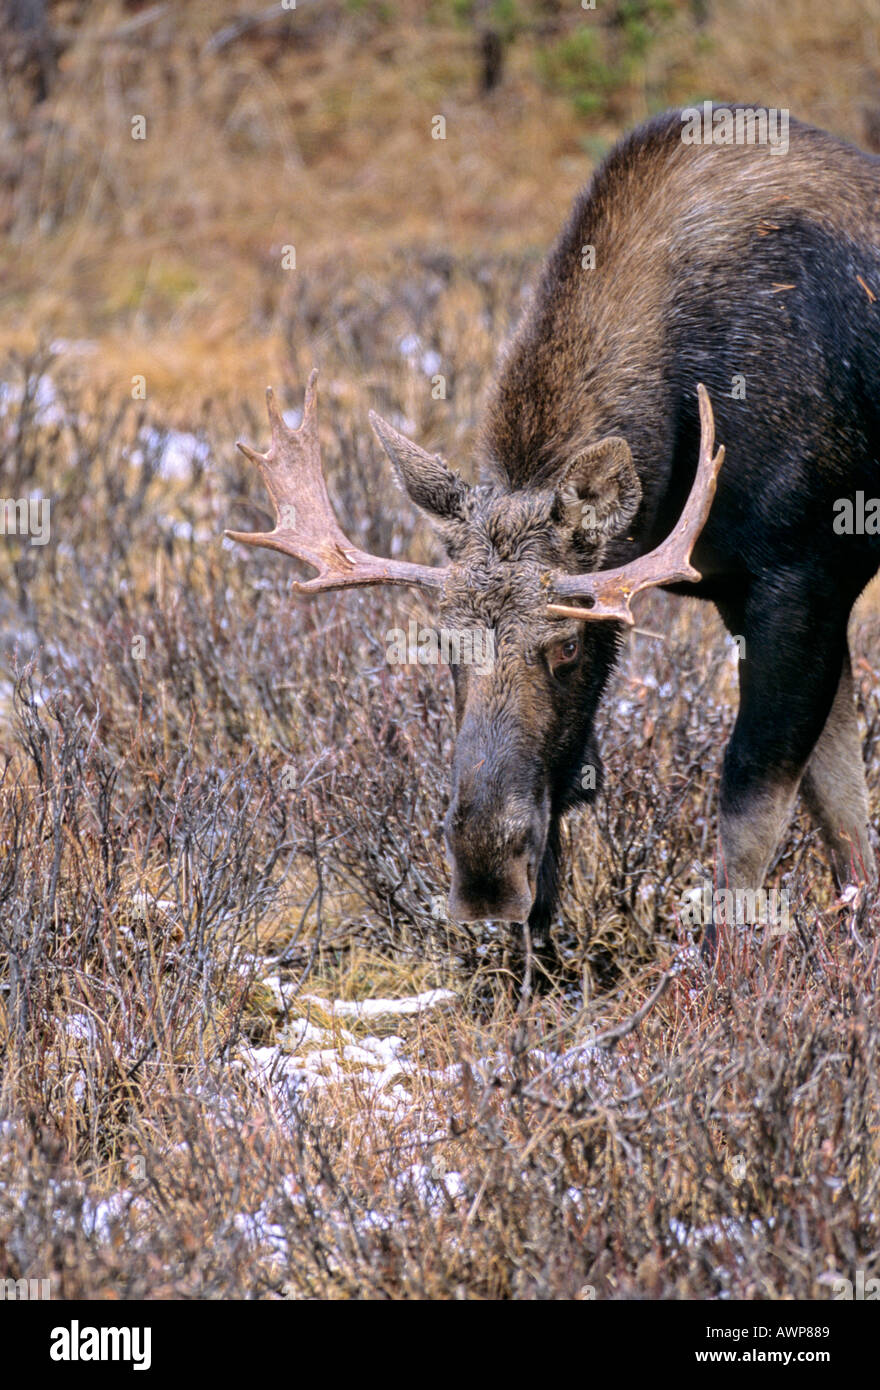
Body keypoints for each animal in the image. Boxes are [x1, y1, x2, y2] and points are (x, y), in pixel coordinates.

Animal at [225, 106, 880, 970]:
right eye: (442, 645)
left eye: (566, 645)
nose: (483, 875)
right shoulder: (758, 595)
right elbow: (842, 810)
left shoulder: (803, 579)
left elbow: (756, 809)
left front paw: (723, 975)